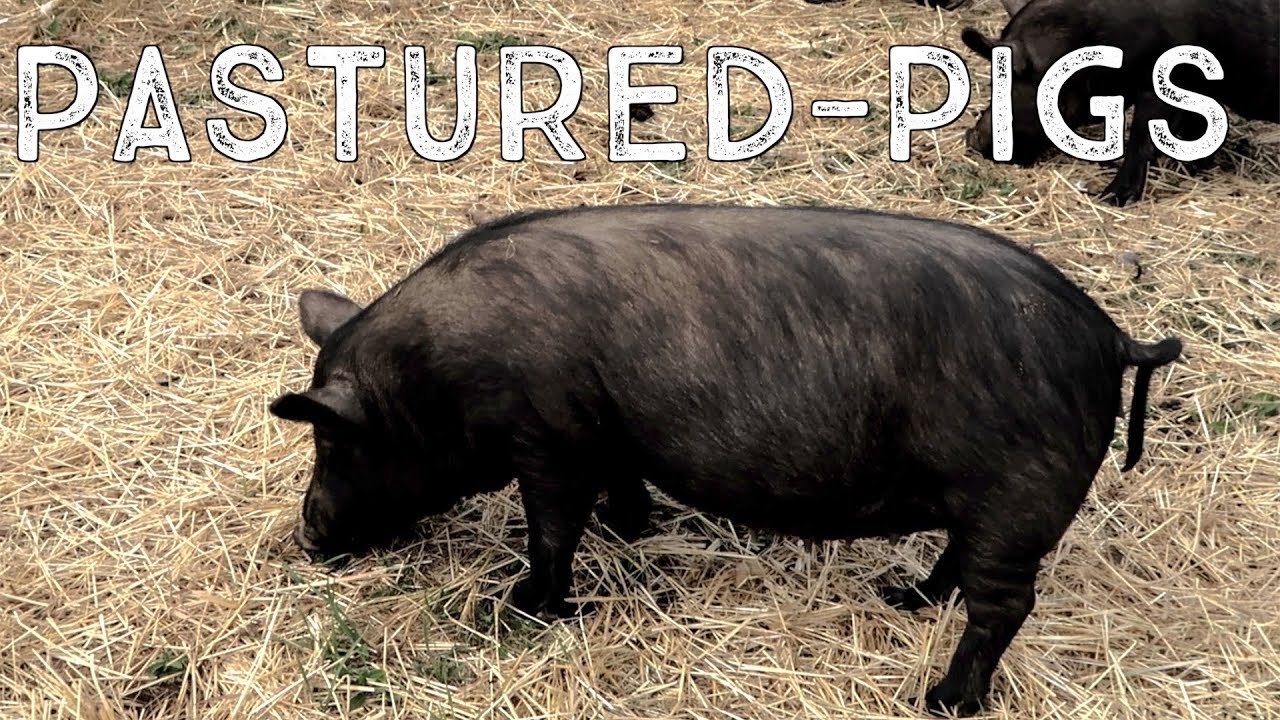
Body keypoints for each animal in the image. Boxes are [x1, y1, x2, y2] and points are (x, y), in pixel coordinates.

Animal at [269, 203, 1182, 717]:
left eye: (330, 436)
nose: (307, 537)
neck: (439, 376)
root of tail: (1109, 337)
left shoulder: (551, 438)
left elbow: (553, 530)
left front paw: (525, 608)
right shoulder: (607, 432)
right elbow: (621, 488)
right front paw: (629, 529)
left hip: (1015, 501)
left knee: (1005, 606)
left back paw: (942, 702)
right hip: (984, 506)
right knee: (956, 566)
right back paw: (901, 597)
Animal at [960, 0, 1280, 206]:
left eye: (1004, 83)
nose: (972, 138)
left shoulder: (1158, 83)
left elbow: (1142, 139)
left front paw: (1110, 198)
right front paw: (1186, 167)